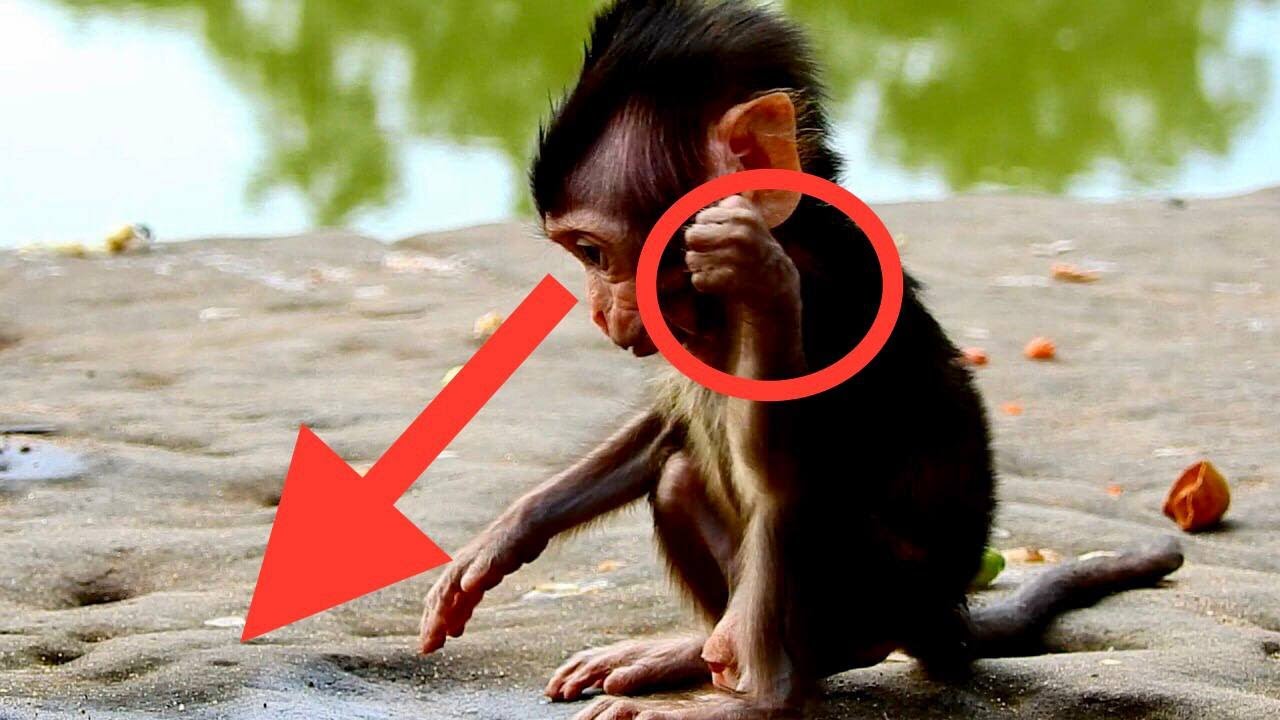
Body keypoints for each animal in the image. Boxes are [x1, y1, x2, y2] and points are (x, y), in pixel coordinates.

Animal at [418, 2, 1185, 718]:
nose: (599, 312)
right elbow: (667, 429)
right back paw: (691, 653)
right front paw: (501, 542)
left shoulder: (828, 297)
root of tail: (943, 618)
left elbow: (783, 472)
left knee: (799, 501)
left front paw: (761, 274)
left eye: (591, 252)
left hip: (880, 595)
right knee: (678, 477)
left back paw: (763, 699)